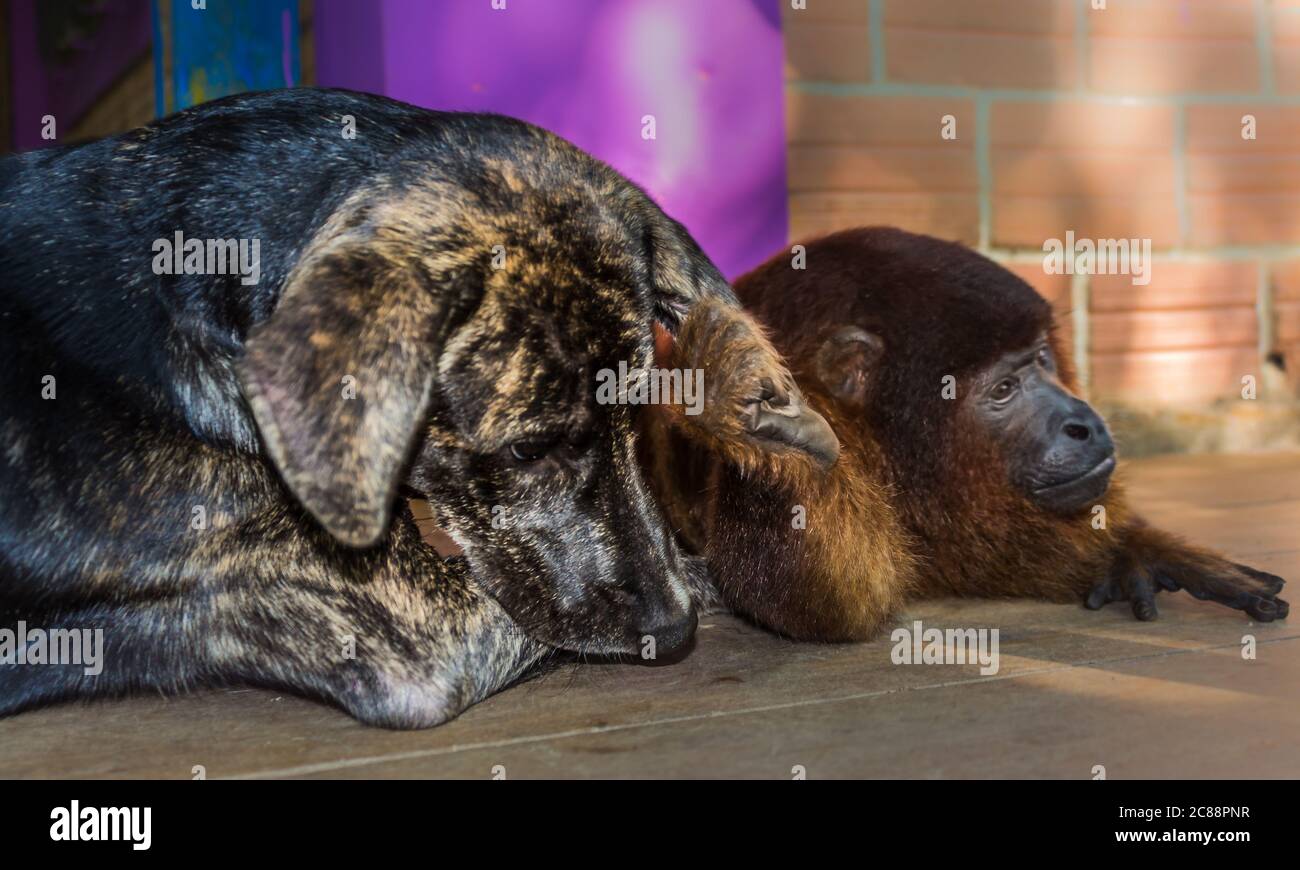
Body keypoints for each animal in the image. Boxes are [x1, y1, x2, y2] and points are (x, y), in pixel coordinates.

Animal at [647, 227, 1288, 642]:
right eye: (1003, 389)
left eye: (1041, 359)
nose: (1084, 422)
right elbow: (815, 600)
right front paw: (765, 440)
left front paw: (1140, 550)